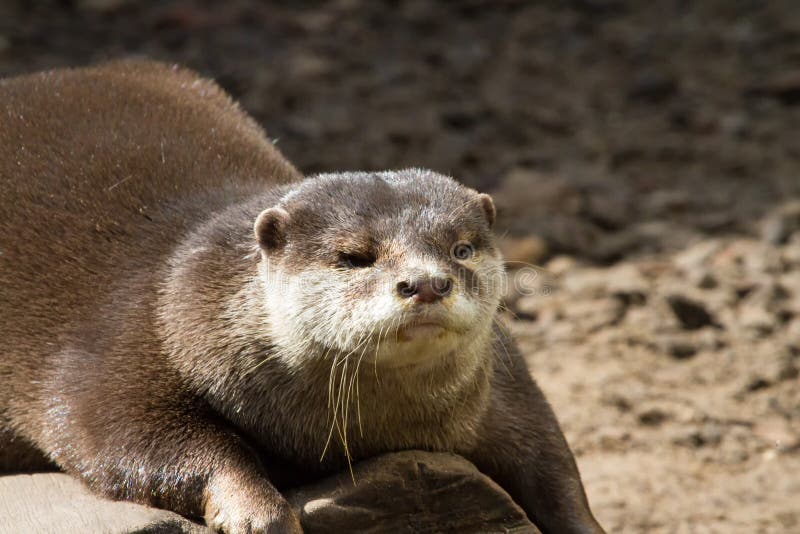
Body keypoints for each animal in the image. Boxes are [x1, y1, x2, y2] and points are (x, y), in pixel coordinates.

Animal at [0, 61, 604, 534]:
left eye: (461, 248)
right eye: (355, 257)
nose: (427, 283)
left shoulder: (503, 380)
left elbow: (550, 455)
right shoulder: (120, 352)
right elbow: (129, 438)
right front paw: (257, 509)